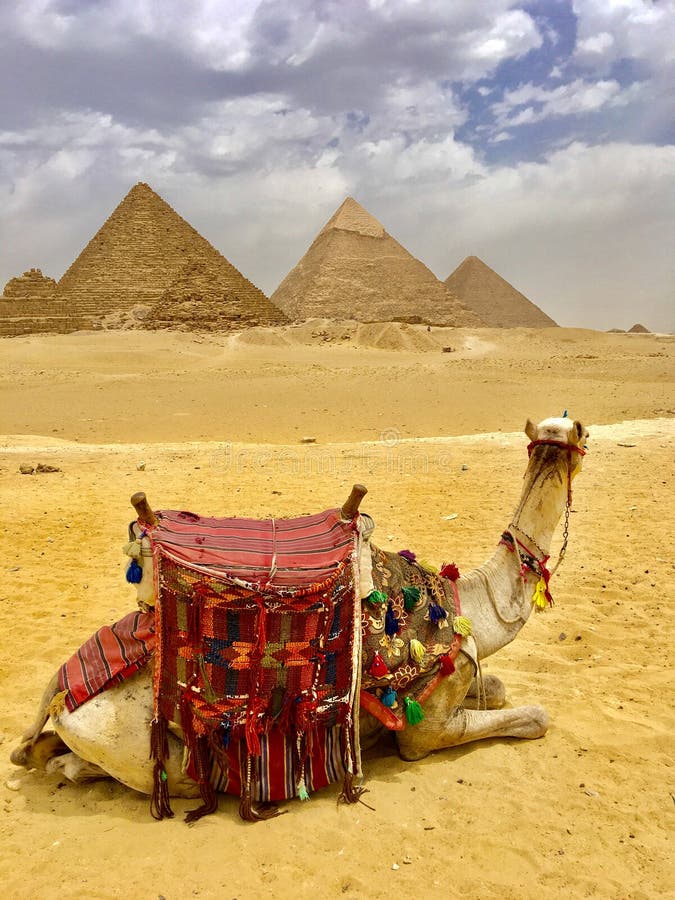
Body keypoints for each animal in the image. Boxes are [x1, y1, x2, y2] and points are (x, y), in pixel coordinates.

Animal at [11, 415, 588, 808]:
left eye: (572, 430)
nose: (564, 437)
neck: (469, 608)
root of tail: (60, 693)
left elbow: (499, 687)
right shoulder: (426, 730)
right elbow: (534, 717)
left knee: (54, 759)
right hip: (147, 747)